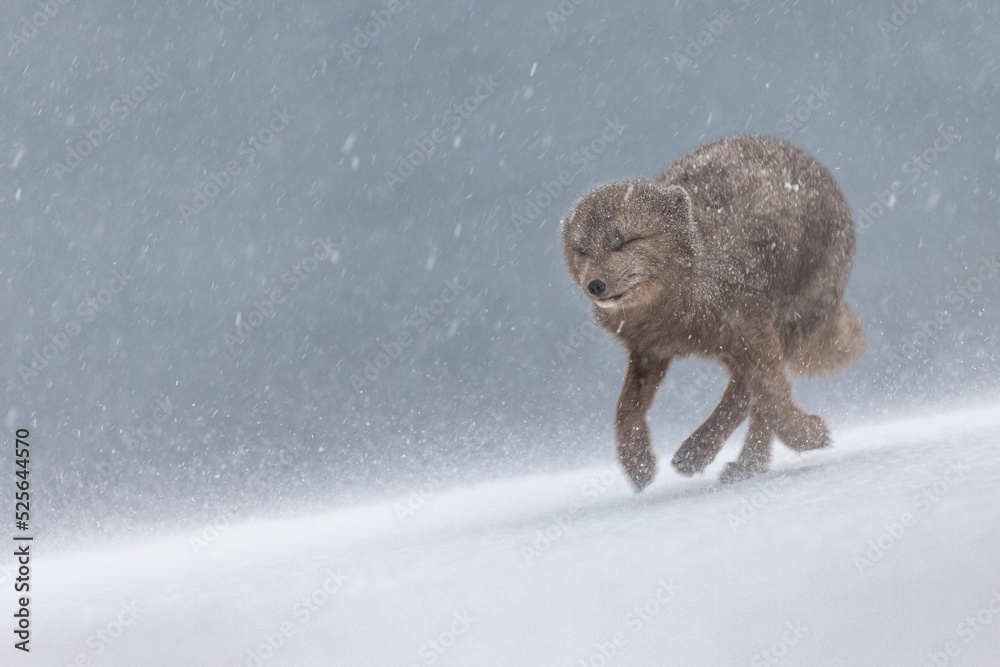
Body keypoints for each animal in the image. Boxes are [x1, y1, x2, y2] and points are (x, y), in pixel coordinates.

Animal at [561, 135, 865, 490]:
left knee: (751, 398)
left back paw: (720, 457)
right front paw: (637, 464)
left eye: (626, 241)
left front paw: (811, 434)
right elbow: (626, 408)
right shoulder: (648, 350)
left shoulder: (752, 328)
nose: (594, 285)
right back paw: (743, 464)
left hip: (790, 324)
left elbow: (769, 398)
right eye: (581, 250)